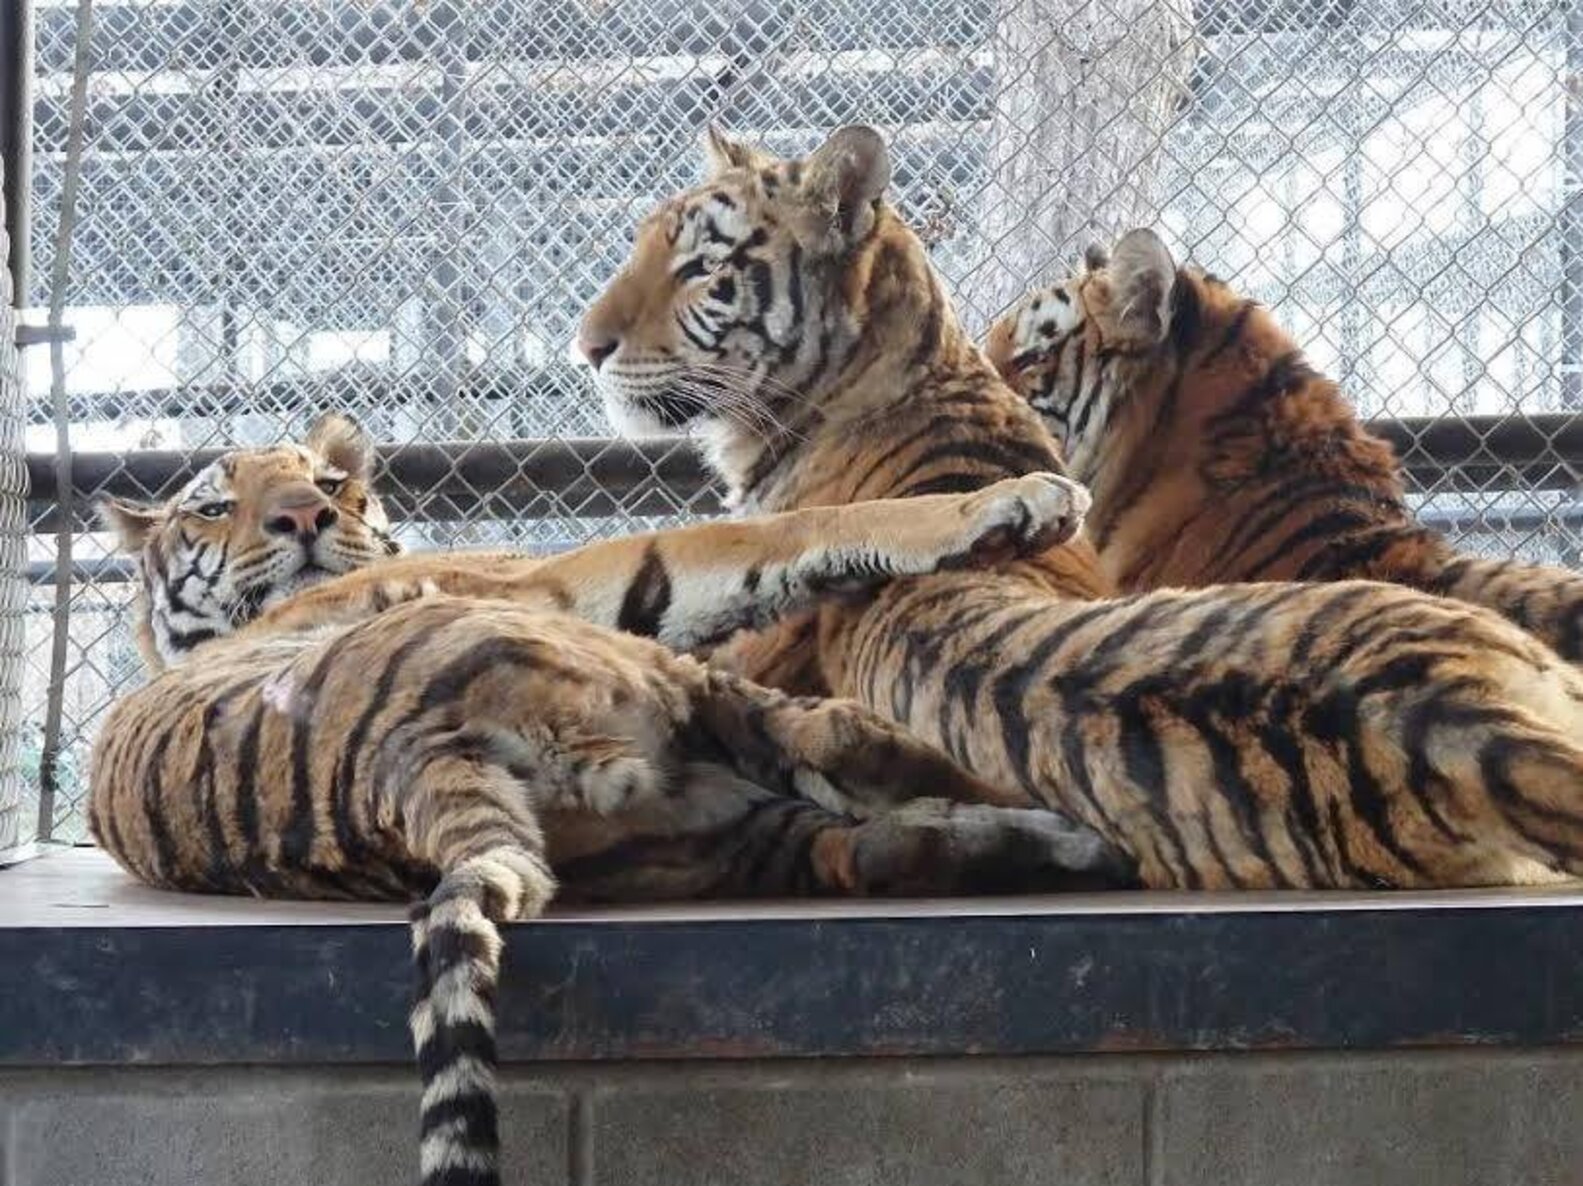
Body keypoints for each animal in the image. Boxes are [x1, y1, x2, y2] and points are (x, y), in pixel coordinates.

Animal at [92, 413, 1133, 1186]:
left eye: (332, 481)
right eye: (217, 506)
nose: (305, 517)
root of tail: (401, 761)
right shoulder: (571, 580)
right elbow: (780, 532)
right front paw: (1015, 502)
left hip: (702, 826)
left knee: (863, 845)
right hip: (643, 680)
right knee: (841, 745)